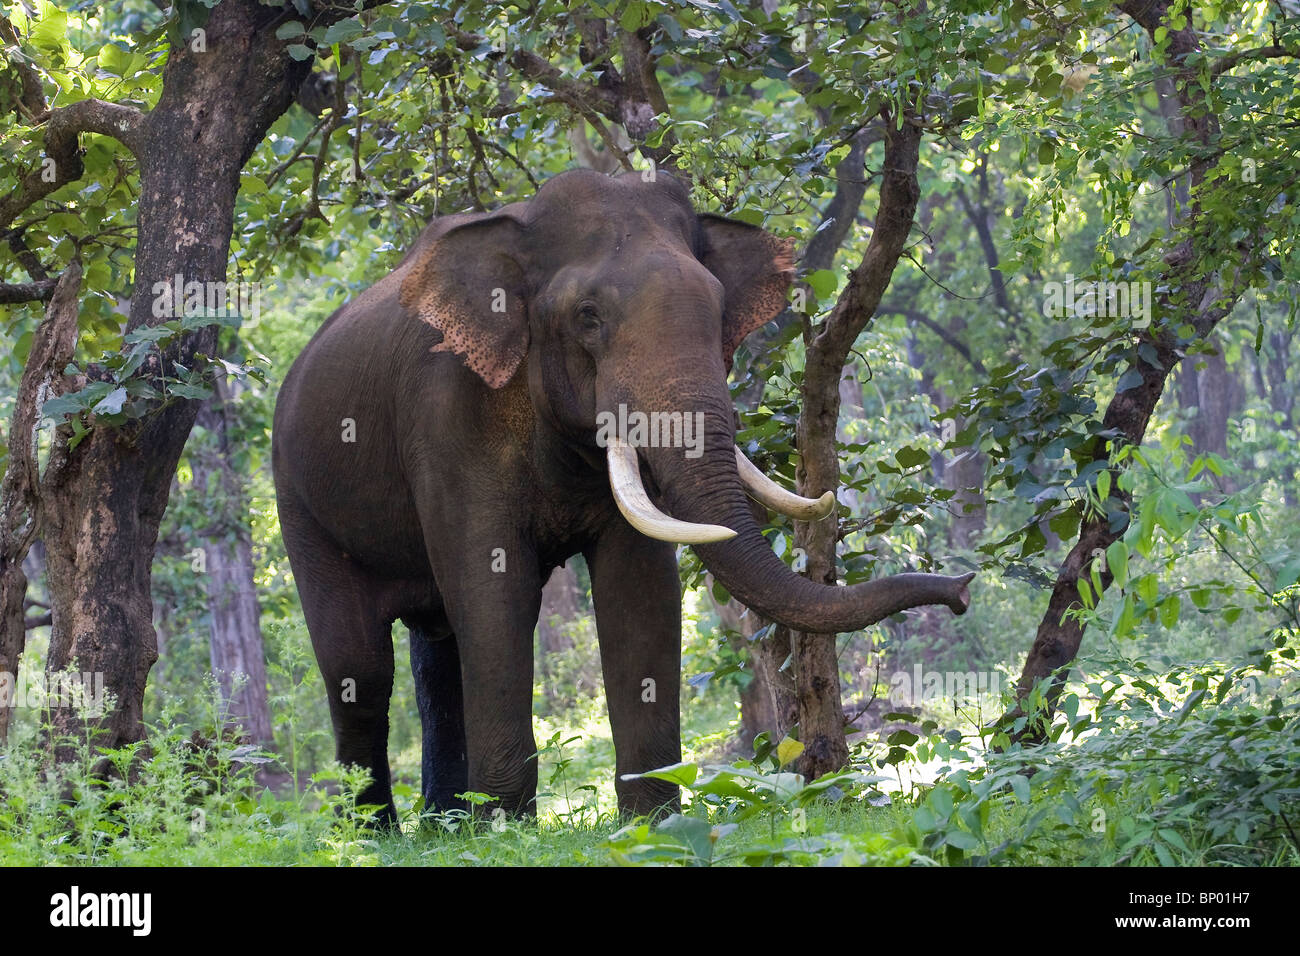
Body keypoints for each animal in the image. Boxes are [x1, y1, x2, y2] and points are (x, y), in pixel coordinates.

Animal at [271, 168, 973, 824]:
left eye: (719, 307)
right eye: (589, 316)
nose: (962, 590)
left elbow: (637, 587)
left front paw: (653, 820)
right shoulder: (444, 417)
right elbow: (493, 587)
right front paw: (505, 826)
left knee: (436, 651)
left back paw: (444, 826)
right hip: (298, 501)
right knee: (360, 665)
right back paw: (374, 832)